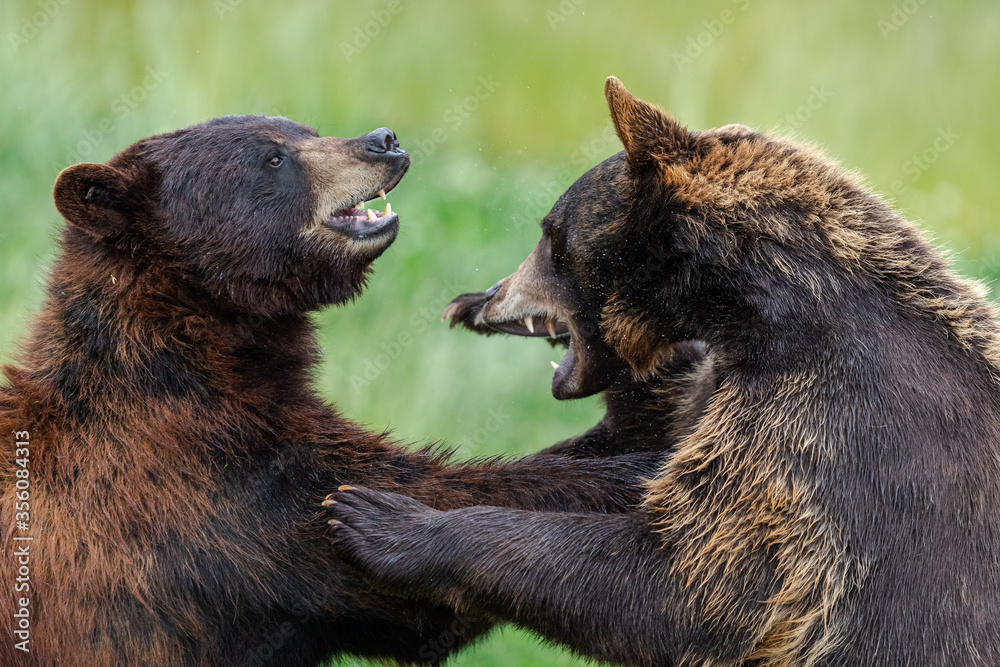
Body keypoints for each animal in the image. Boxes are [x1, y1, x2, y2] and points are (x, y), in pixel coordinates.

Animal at [0, 115, 666, 667]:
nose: (383, 140)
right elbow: (406, 557)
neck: (199, 339)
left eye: (302, 127)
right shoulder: (203, 476)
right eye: (271, 159)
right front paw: (630, 472)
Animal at [325, 77, 1000, 666]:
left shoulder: (817, 441)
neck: (750, 314)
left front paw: (380, 520)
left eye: (549, 235)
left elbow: (680, 582)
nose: (485, 297)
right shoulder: (723, 390)